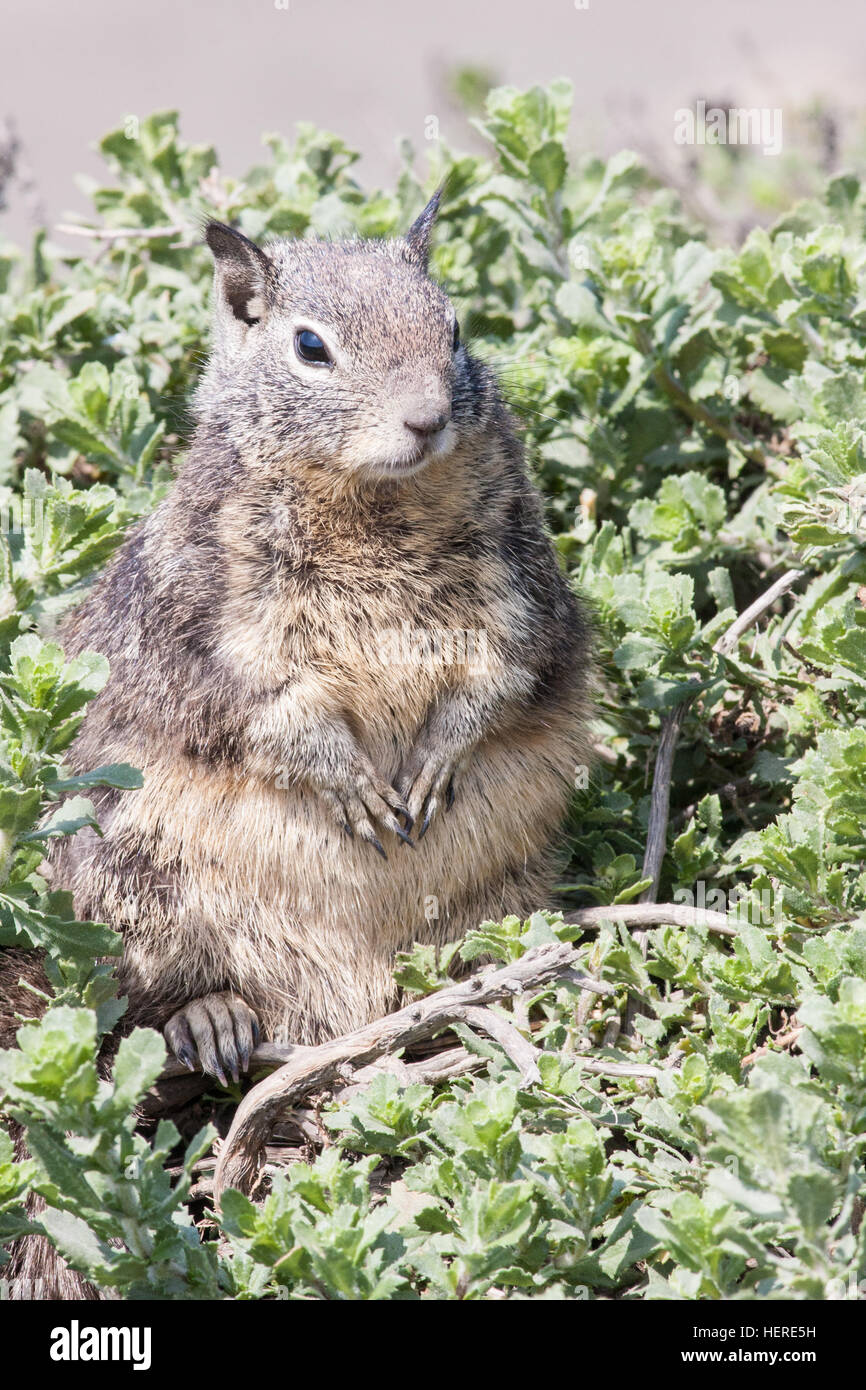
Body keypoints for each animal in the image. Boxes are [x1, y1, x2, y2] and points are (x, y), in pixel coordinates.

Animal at [1, 193, 591, 1294]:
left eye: (453, 328)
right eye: (310, 347)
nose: (425, 417)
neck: (375, 501)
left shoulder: (519, 590)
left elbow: (496, 681)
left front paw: (432, 764)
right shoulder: (220, 628)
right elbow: (274, 713)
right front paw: (352, 784)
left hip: (499, 894)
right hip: (131, 887)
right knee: (140, 1009)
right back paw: (214, 1018)